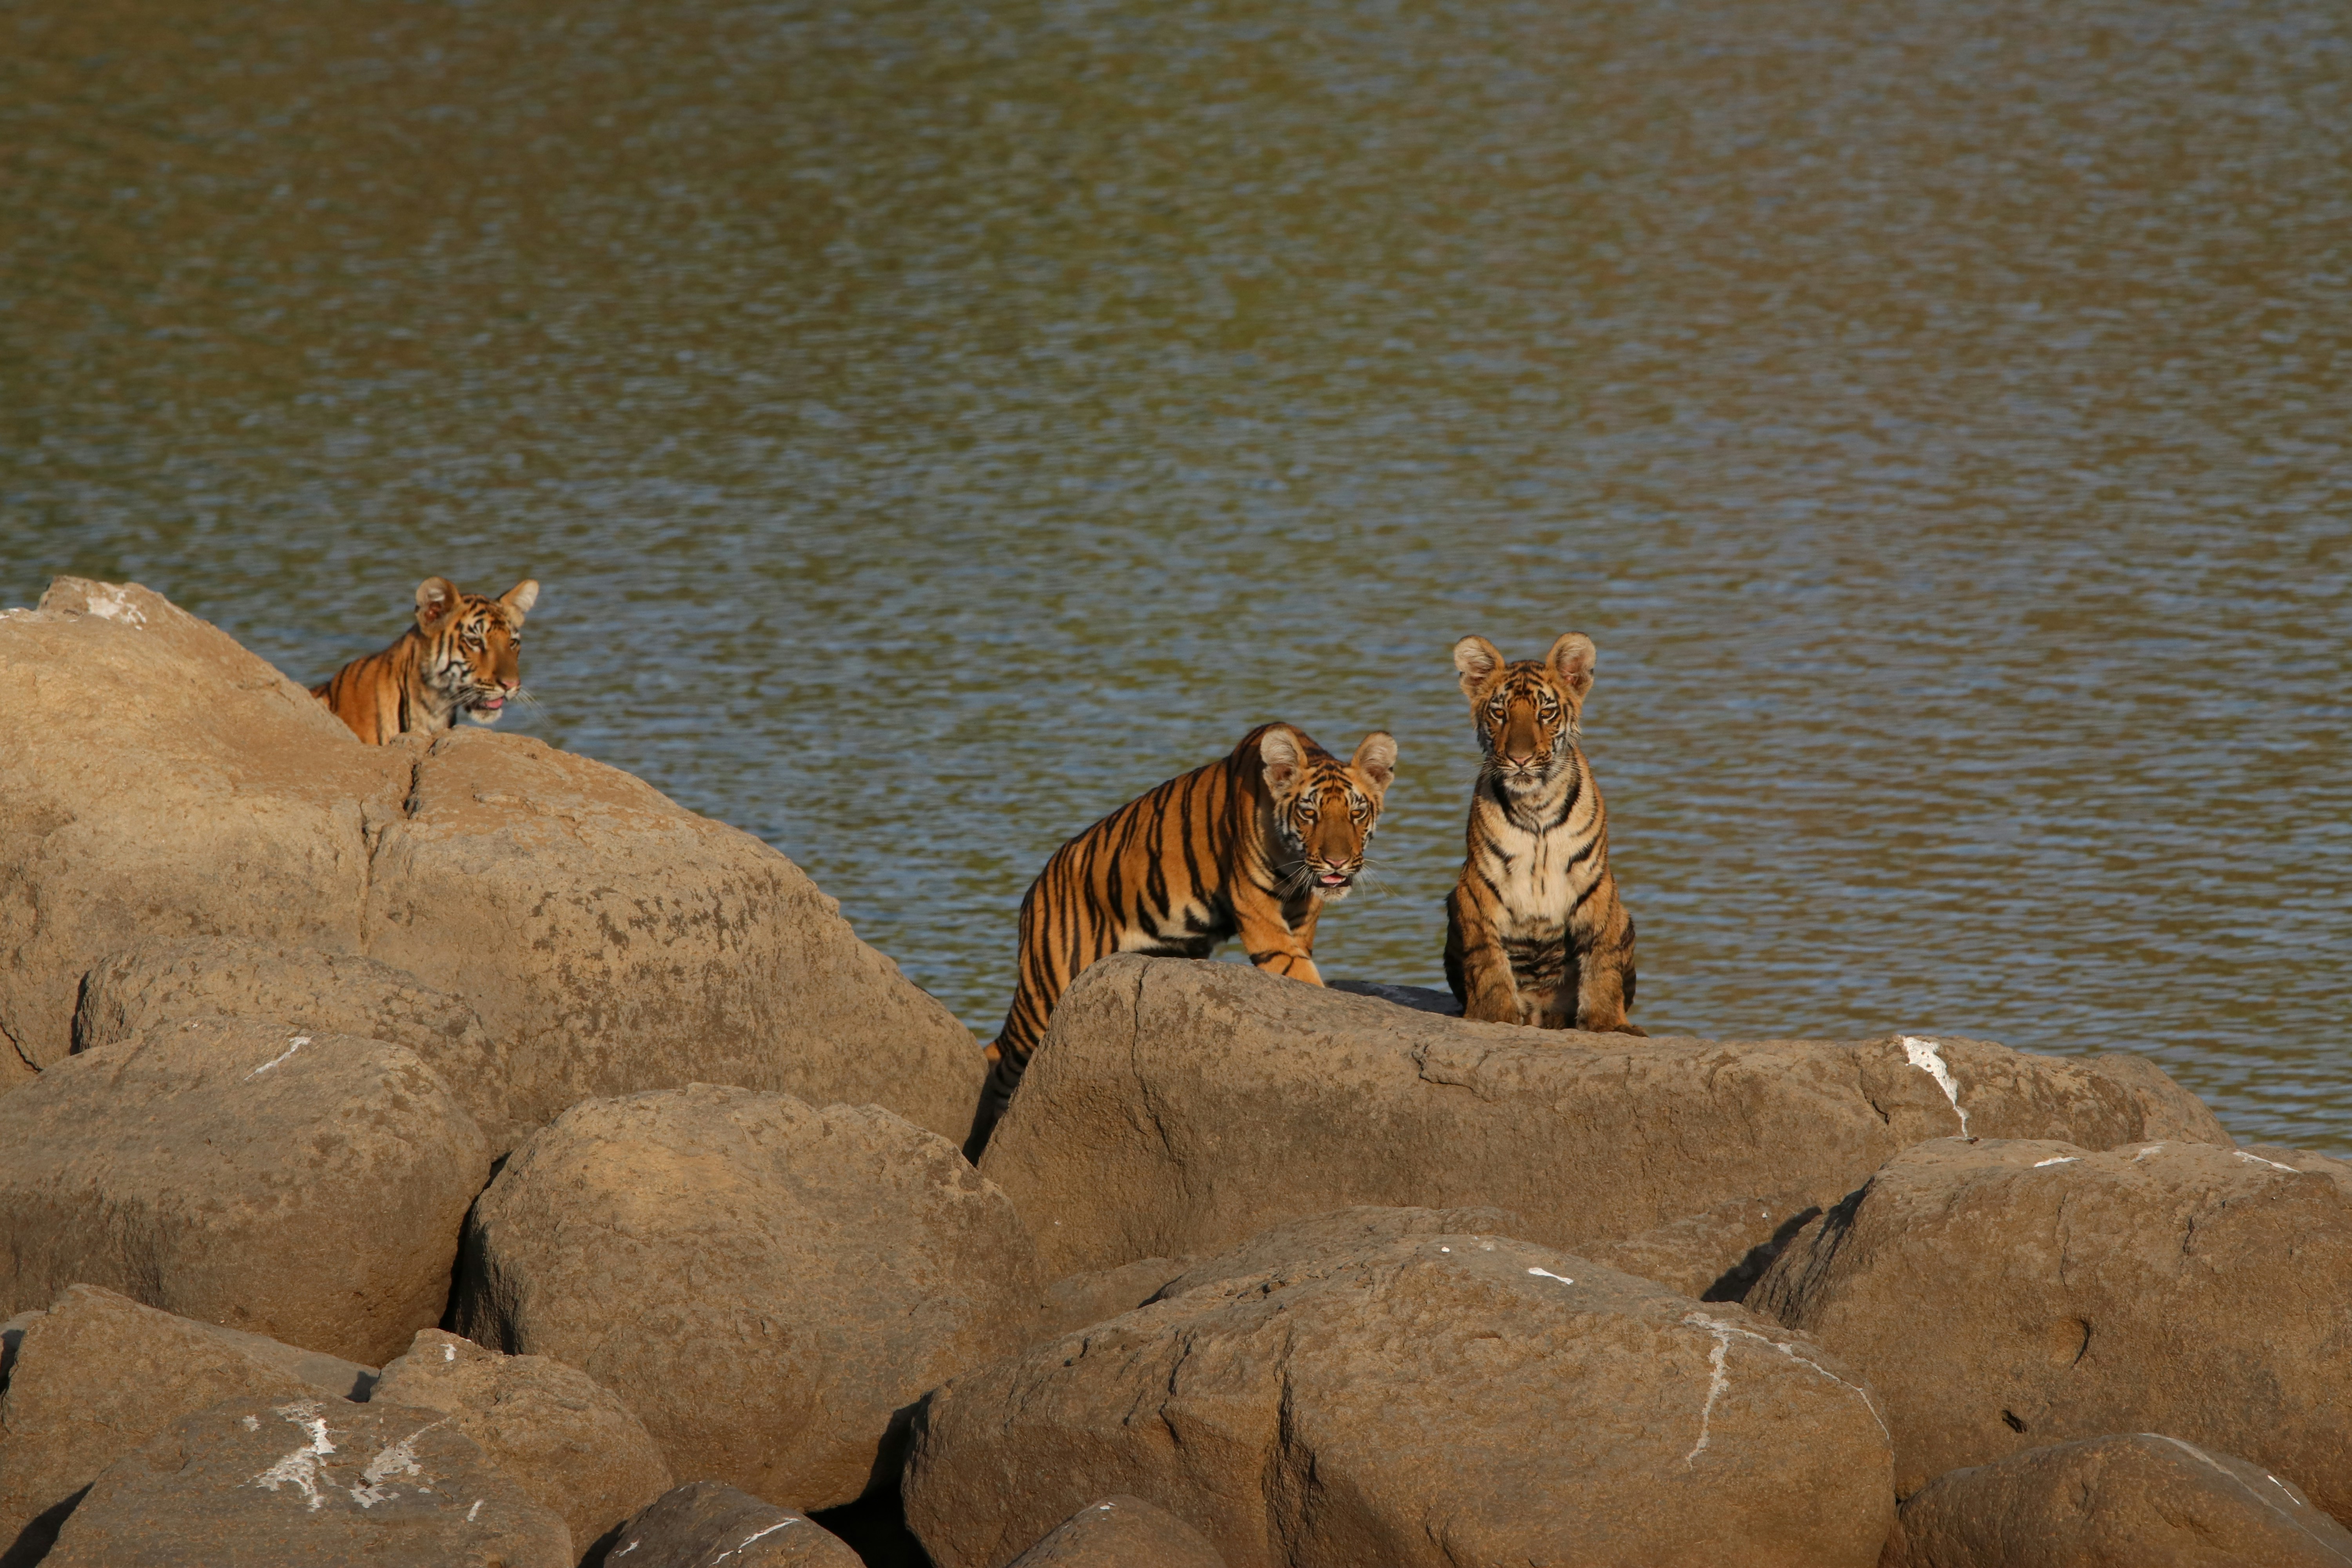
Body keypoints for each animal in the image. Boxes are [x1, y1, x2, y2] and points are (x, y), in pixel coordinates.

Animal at [967, 721, 1399, 1157]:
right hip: (1045, 996)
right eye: (1309, 813)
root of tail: (1035, 888)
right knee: (1001, 1064)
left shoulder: (1301, 916)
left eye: (1357, 813)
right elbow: (1298, 972)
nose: (1336, 863)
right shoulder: (1259, 915)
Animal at [1443, 633, 1644, 1035]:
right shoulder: (1477, 886)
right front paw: (1495, 1016)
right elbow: (1488, 962)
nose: (1519, 759)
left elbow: (1603, 960)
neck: (1535, 805)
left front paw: (1607, 1024)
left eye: (1546, 713)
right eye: (1500, 713)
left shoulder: (1596, 883)